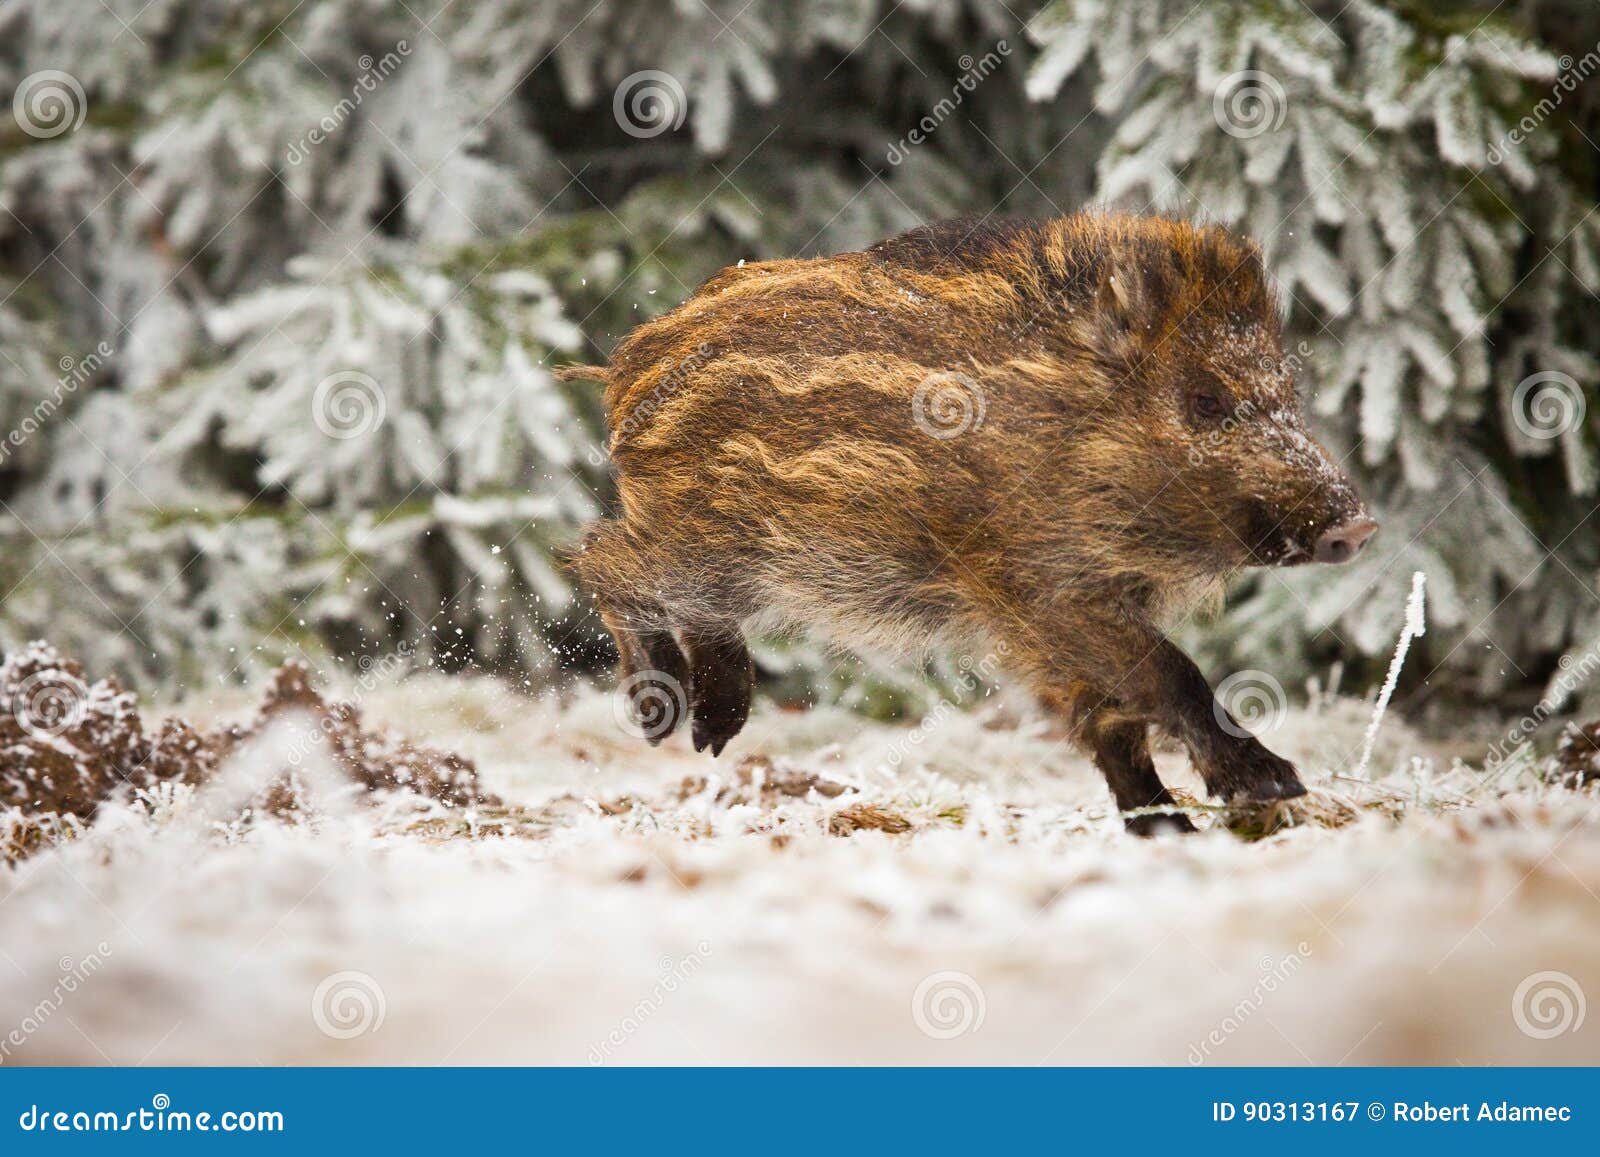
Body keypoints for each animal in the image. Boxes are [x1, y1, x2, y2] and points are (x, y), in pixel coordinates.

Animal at [557, 213, 1376, 834]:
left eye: (1287, 392)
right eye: (1206, 400)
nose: (1360, 528)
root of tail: (626, 366)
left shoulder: (1068, 613)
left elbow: (1110, 720)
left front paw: (1166, 830)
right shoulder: (1044, 591)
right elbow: (1170, 675)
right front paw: (1275, 785)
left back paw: (713, 735)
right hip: (702, 542)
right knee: (598, 556)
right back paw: (660, 718)